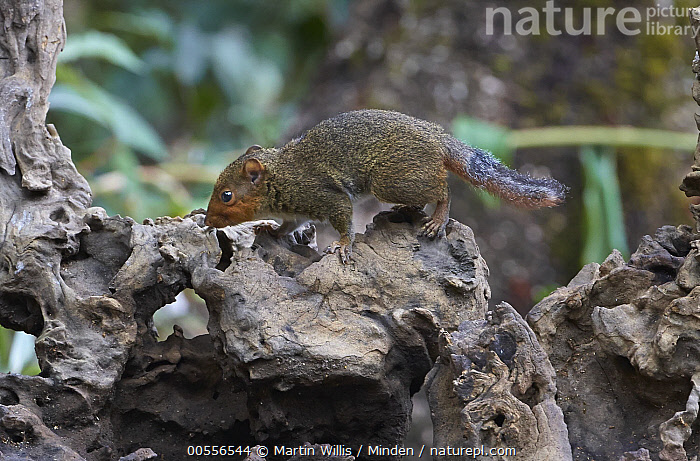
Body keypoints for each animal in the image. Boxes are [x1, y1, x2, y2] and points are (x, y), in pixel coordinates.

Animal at [204, 109, 567, 263]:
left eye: (227, 196)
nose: (208, 221)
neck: (280, 177)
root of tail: (438, 137)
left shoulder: (323, 195)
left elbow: (344, 218)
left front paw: (343, 245)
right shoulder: (298, 208)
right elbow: (289, 225)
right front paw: (269, 228)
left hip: (392, 179)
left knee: (443, 189)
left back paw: (438, 218)